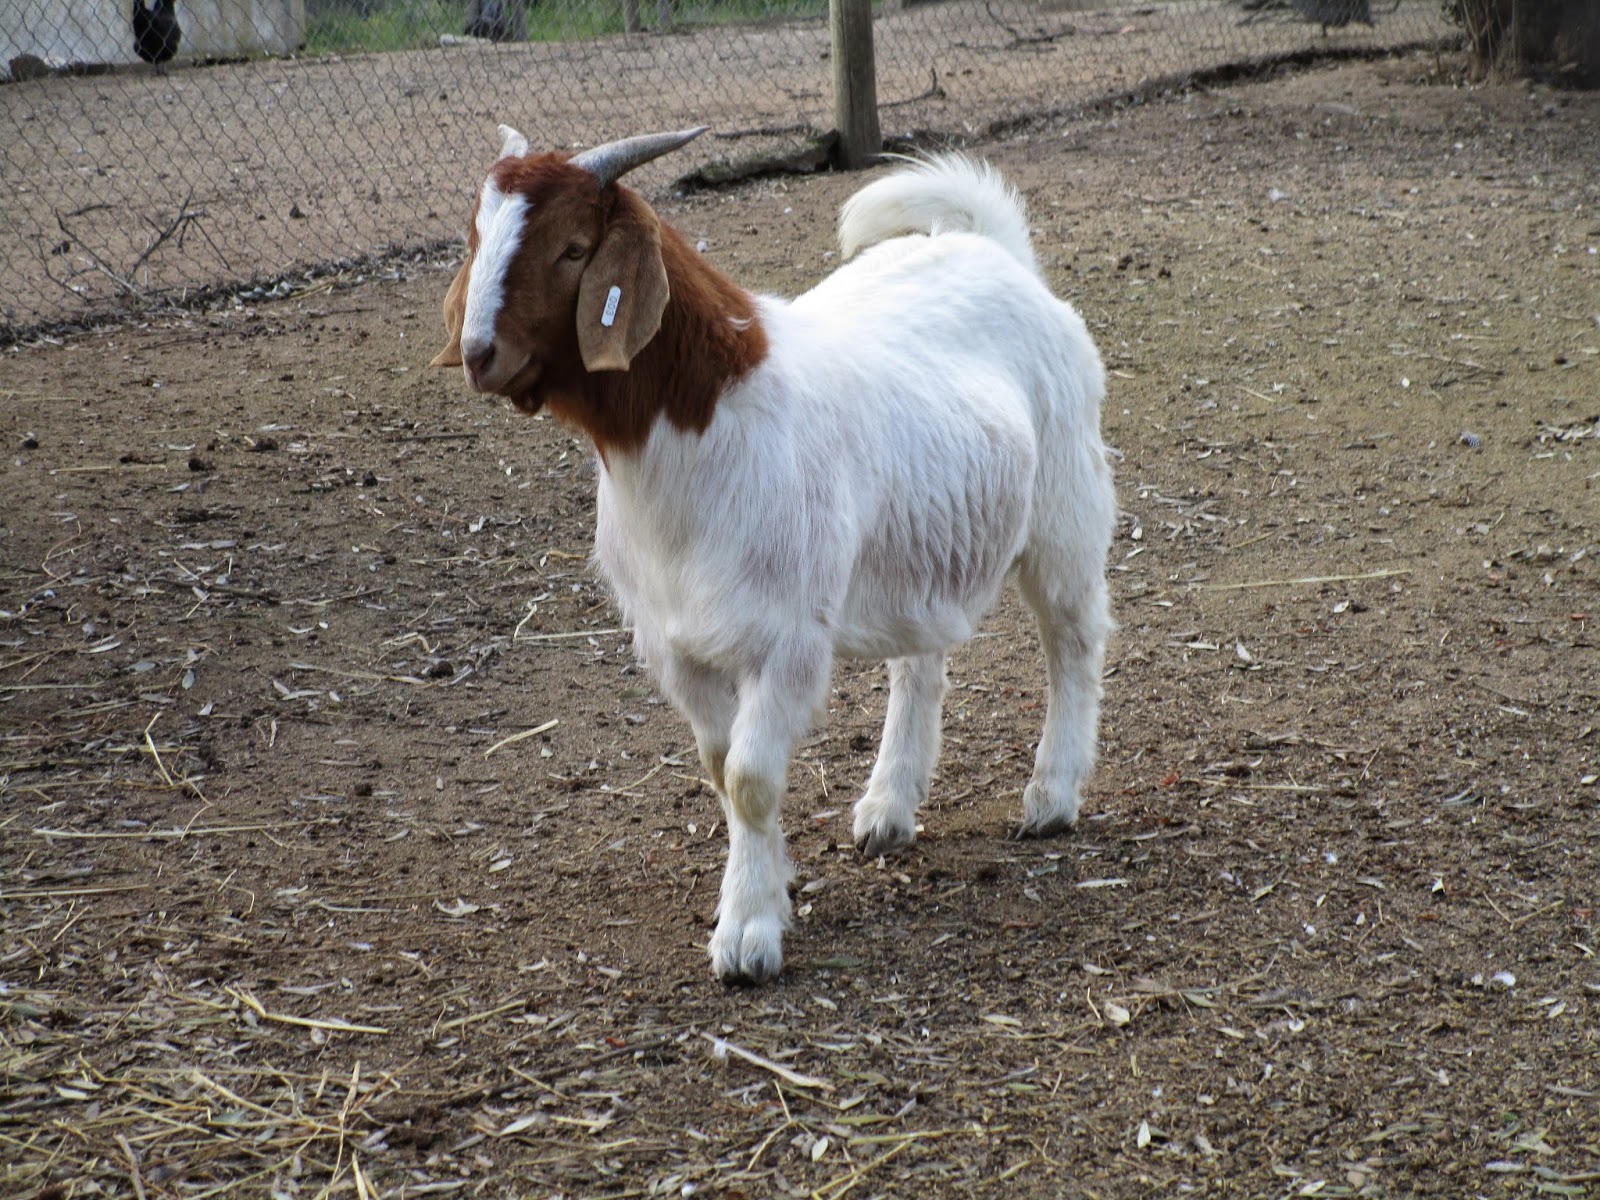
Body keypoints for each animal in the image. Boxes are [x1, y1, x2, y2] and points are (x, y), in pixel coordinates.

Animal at [432, 127, 1116, 983]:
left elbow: (750, 779)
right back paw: (888, 807)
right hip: (915, 543)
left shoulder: (786, 639)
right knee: (920, 665)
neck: (704, 426)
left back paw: (1052, 796)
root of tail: (991, 249)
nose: (477, 353)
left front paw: (747, 936)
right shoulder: (675, 644)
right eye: (474, 237)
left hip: (1064, 508)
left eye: (574, 248)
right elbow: (720, 769)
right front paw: (769, 886)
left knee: (1073, 641)